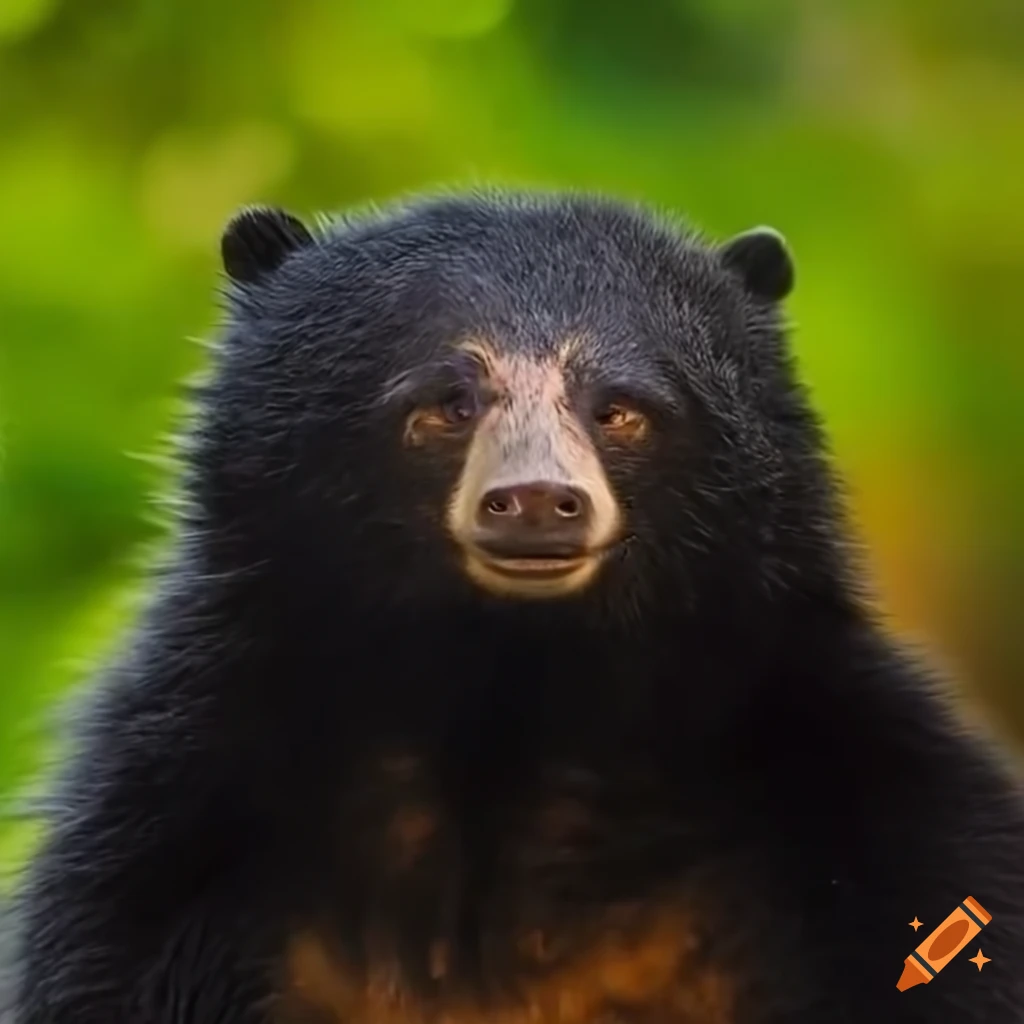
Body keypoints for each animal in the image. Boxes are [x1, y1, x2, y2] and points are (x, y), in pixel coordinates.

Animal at [6, 188, 1024, 1024]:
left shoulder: (870, 800)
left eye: (620, 409)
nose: (536, 501)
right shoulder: (165, 835)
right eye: (445, 402)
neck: (511, 698)